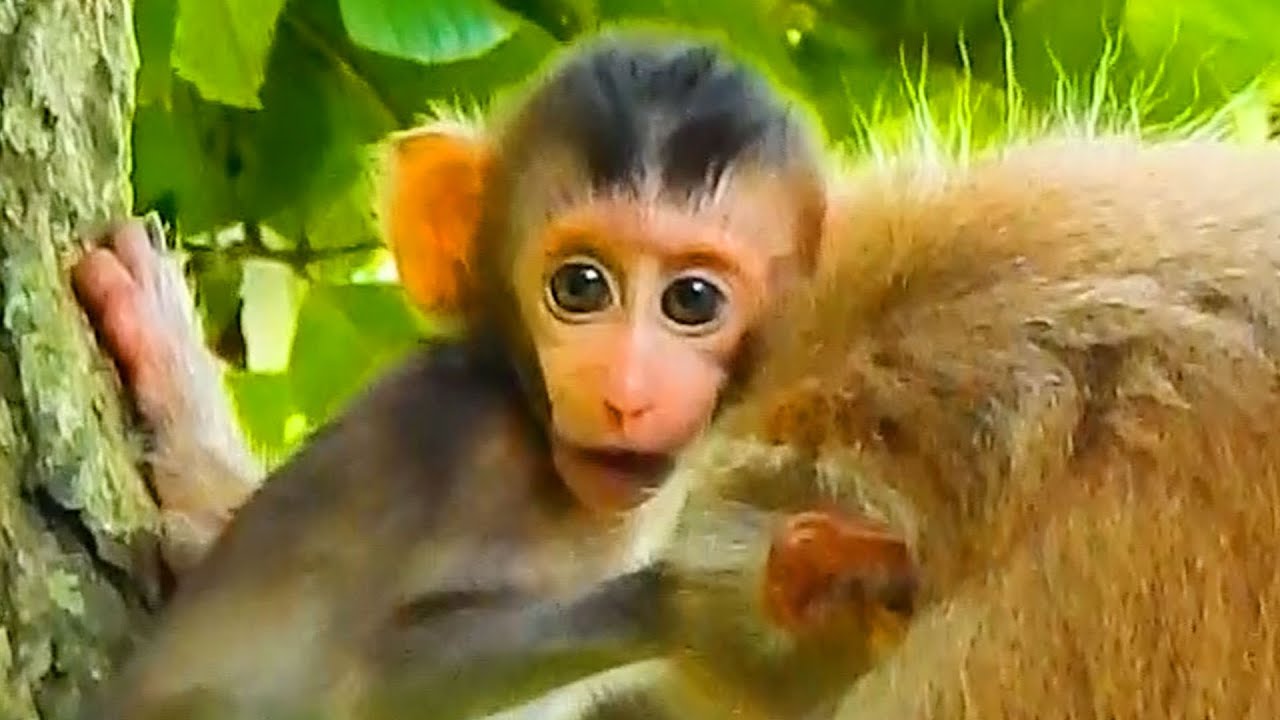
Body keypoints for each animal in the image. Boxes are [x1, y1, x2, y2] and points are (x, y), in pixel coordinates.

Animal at [86, 30, 831, 720]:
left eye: (692, 300)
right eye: (580, 286)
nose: (627, 392)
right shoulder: (464, 452)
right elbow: (383, 674)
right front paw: (719, 596)